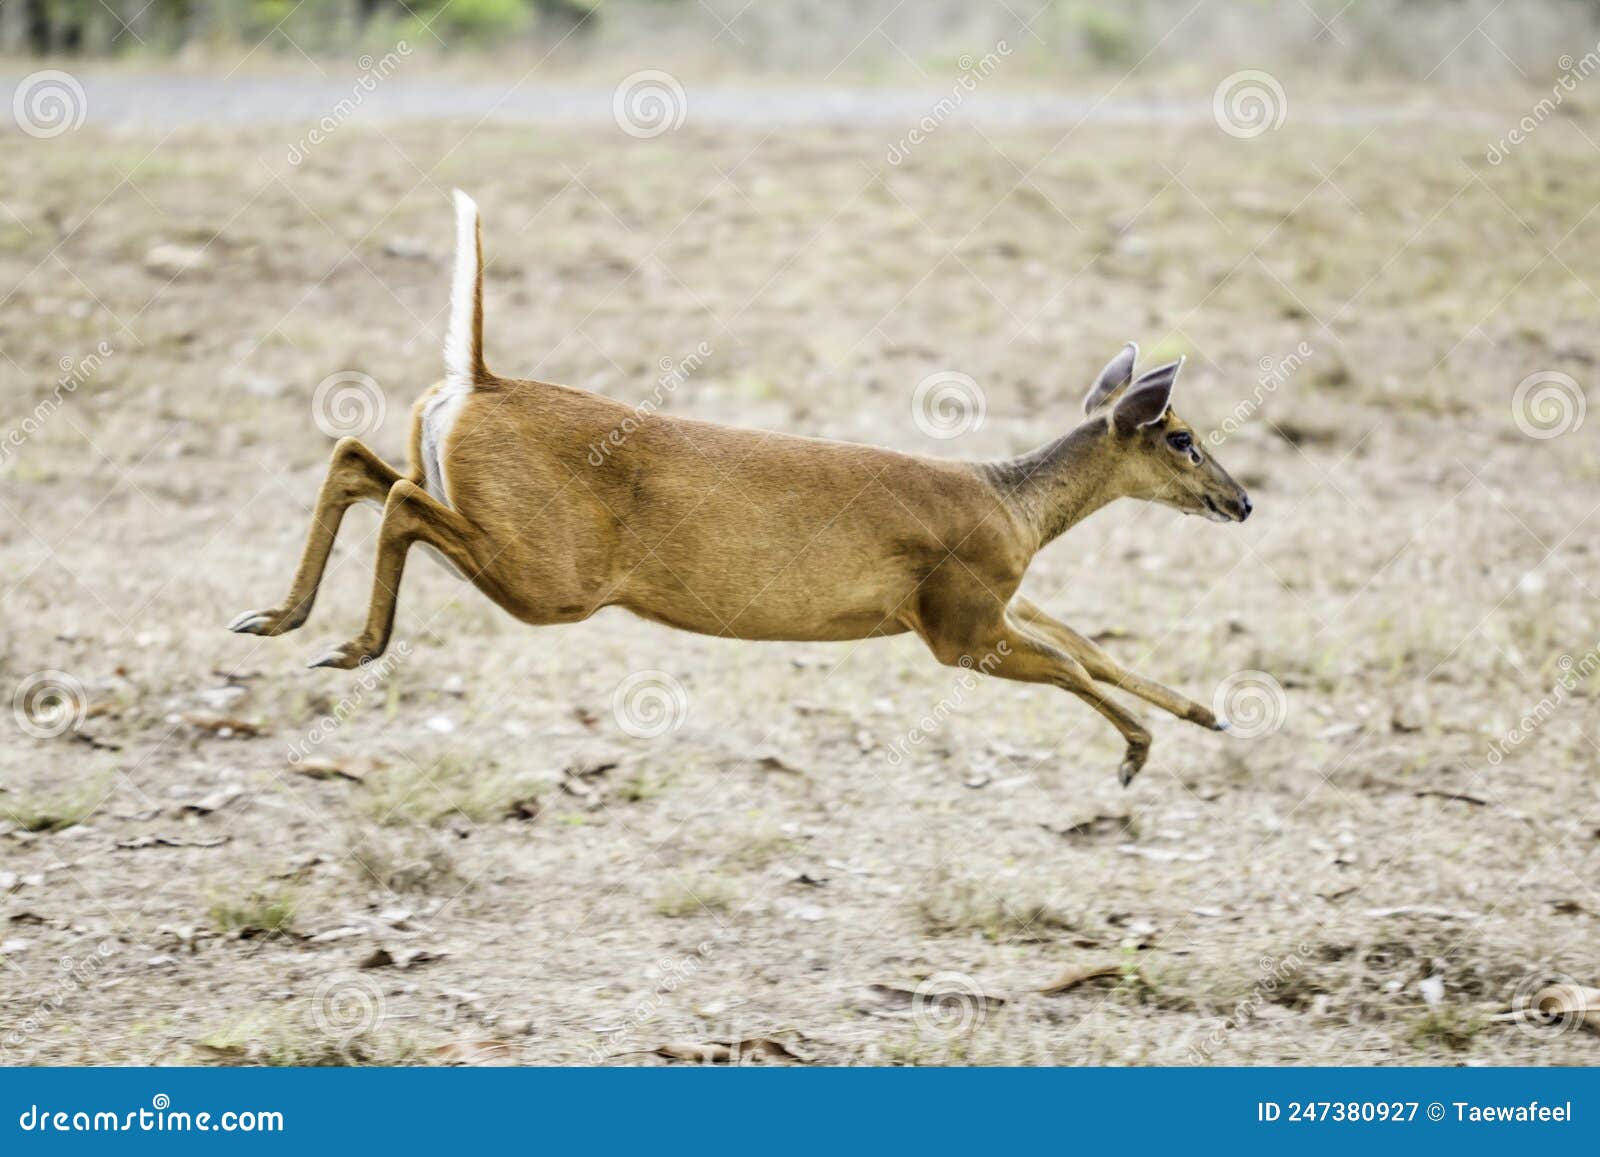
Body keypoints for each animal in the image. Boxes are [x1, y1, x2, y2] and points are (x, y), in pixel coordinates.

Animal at [229, 192, 1253, 786]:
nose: (1242, 501)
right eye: (1186, 438)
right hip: (555, 574)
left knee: (360, 458)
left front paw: (1205, 713)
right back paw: (349, 644)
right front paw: (1137, 752)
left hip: (504, 532)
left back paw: (277, 619)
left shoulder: (991, 598)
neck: (1016, 506)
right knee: (399, 500)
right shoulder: (957, 623)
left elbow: (1091, 644)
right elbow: (1074, 662)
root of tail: (477, 382)